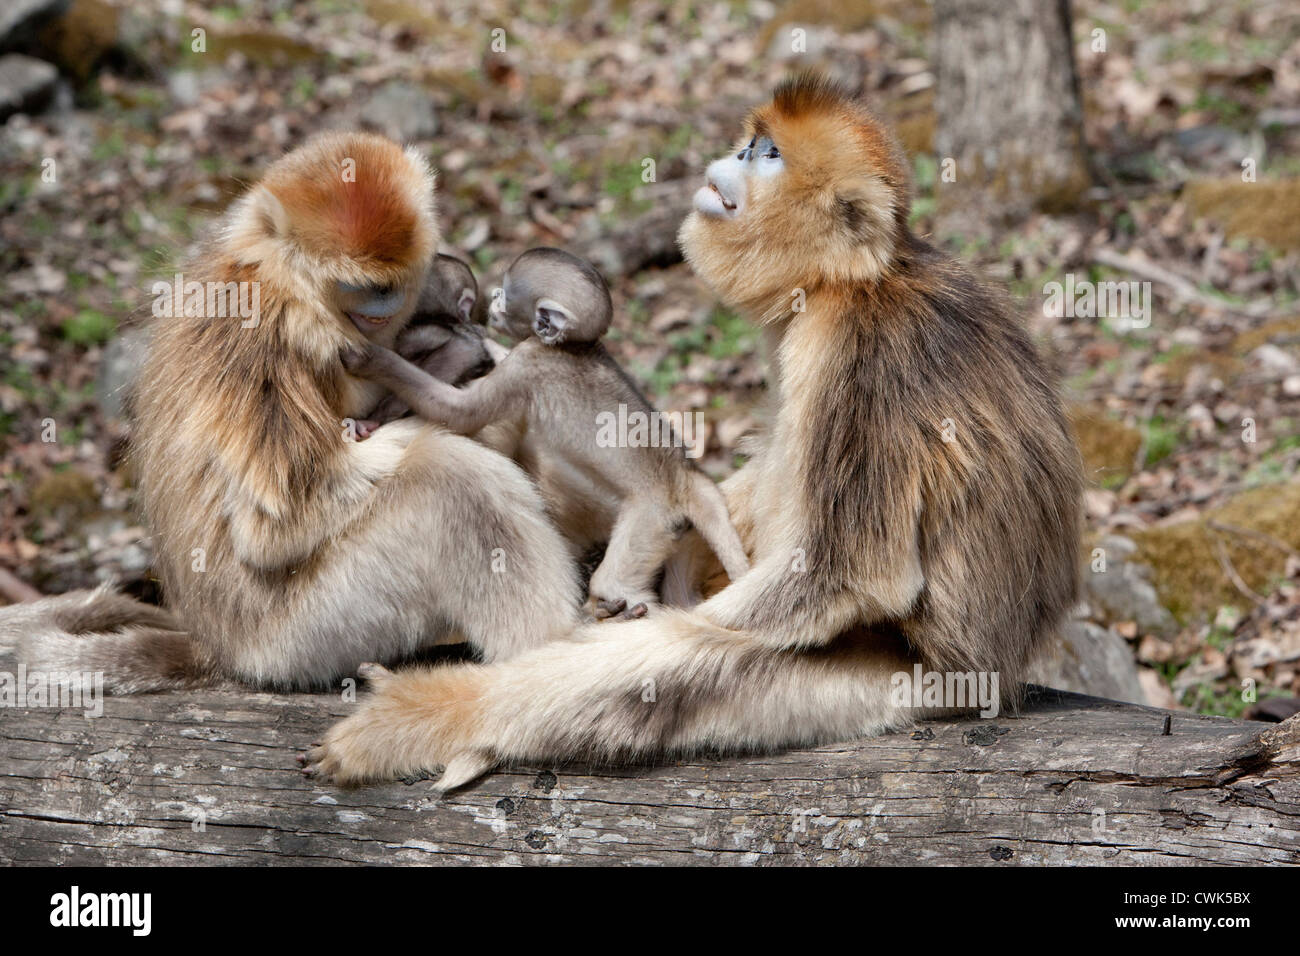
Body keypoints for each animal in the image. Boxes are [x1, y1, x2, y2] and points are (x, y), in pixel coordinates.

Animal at [6, 131, 583, 737]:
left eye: (391, 283)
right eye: (361, 285)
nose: (383, 307)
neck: (285, 281)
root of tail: (218, 646)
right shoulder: (260, 331)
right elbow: (280, 523)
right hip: (302, 636)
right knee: (454, 481)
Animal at [341, 247, 750, 619]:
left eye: (505, 294)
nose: (493, 297)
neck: (572, 346)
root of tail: (682, 477)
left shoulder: (529, 362)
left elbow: (460, 413)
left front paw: (374, 359)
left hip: (654, 516)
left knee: (619, 569)